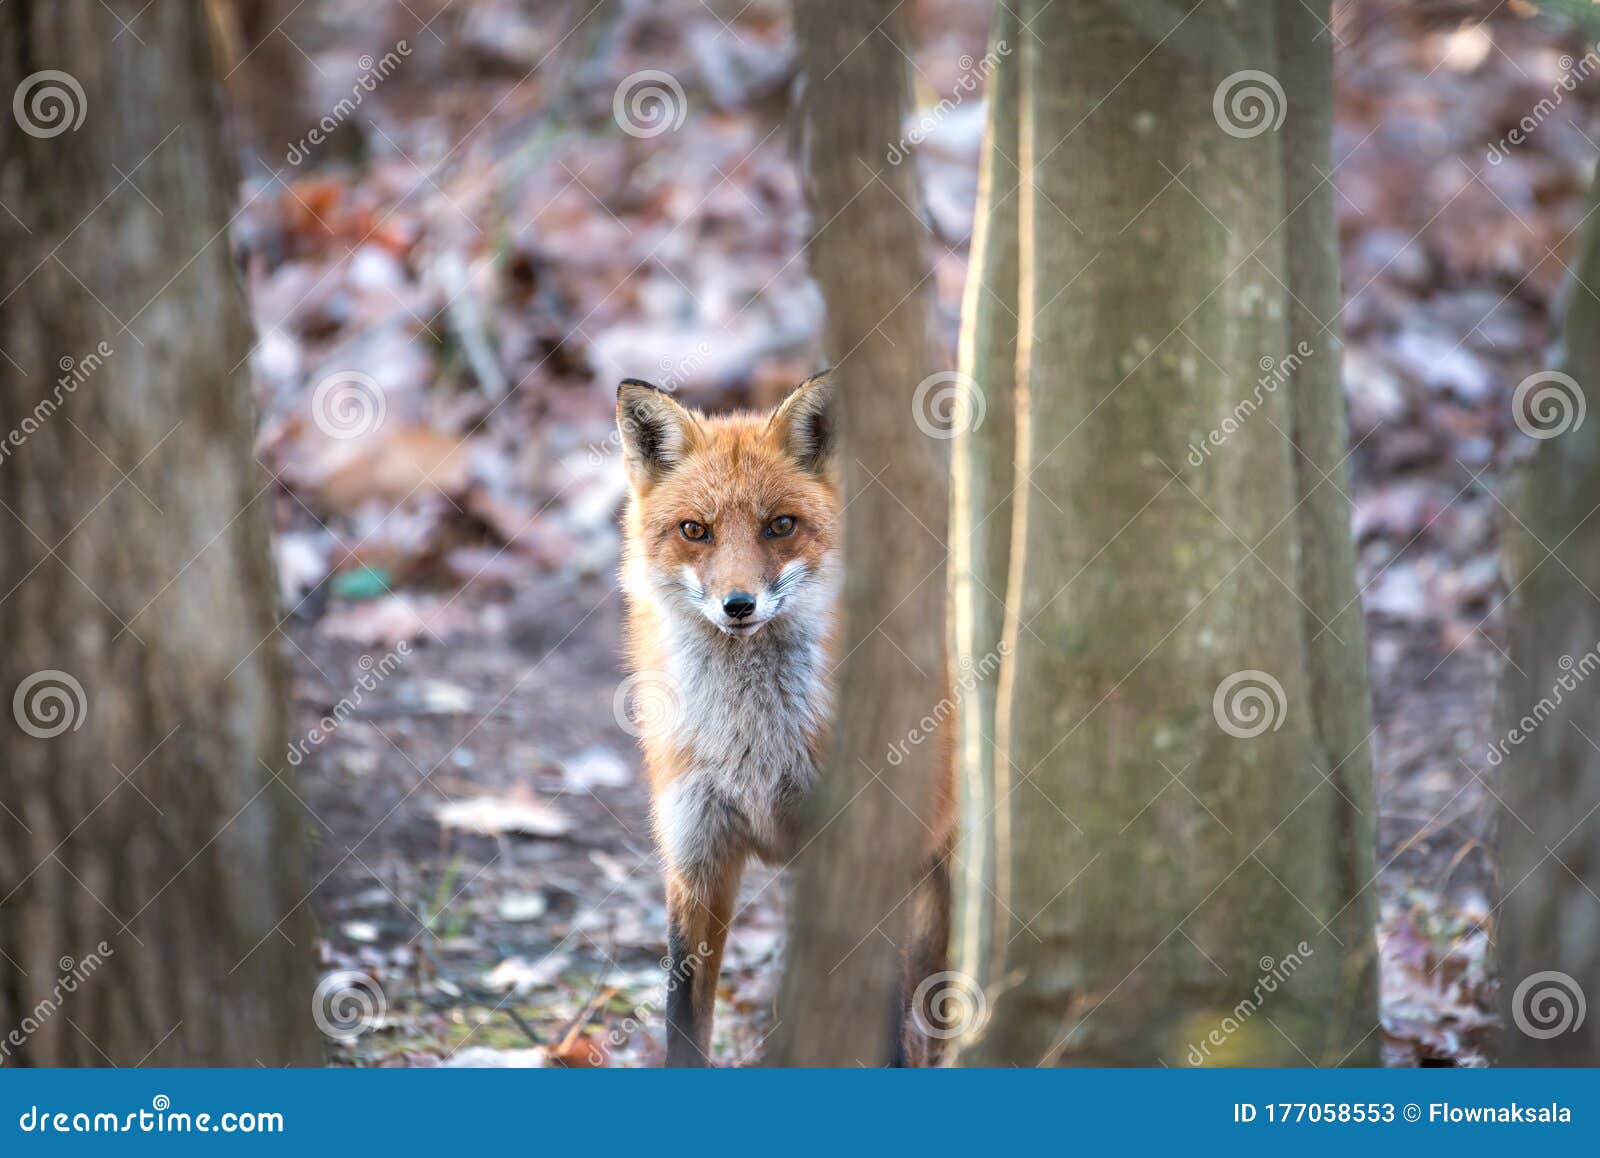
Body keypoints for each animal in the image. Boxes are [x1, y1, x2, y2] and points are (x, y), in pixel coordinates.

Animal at [616, 370, 953, 1066]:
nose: (738, 605)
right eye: (695, 530)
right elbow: (683, 1022)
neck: (754, 747)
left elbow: (882, 1030)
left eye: (780, 525)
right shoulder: (698, 858)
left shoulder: (859, 854)